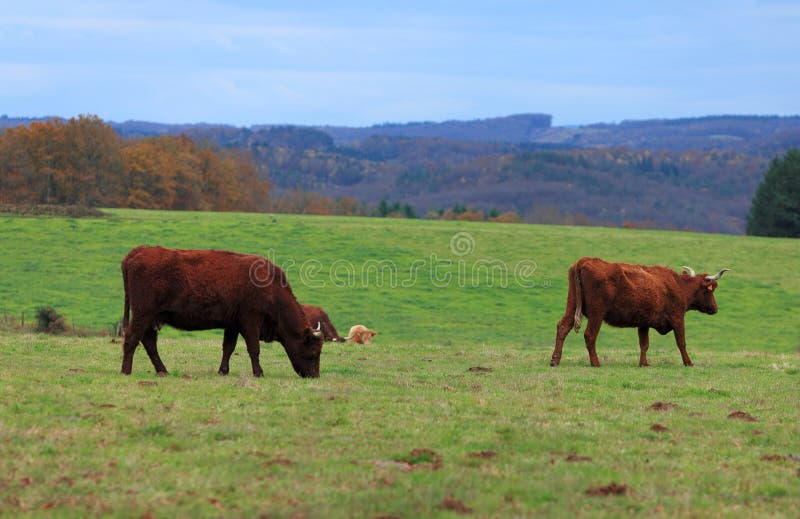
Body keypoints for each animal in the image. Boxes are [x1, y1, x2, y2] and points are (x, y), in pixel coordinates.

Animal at [121, 246, 324, 378]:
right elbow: (254, 349)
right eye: (314, 352)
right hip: (143, 315)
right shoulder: (250, 322)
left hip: (151, 318)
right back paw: (126, 371)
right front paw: (258, 372)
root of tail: (137, 252)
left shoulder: (232, 324)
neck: (271, 288)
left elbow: (228, 347)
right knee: (132, 338)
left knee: (148, 342)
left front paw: (223, 371)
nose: (314, 376)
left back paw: (163, 370)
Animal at [550, 257, 730, 367]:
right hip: (596, 314)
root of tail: (585, 260)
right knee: (589, 335)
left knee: (562, 327)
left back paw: (555, 360)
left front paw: (644, 363)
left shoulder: (644, 323)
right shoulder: (678, 318)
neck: (677, 285)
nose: (715, 308)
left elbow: (644, 344)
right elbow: (681, 342)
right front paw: (688, 362)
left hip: (572, 306)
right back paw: (596, 363)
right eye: (709, 290)